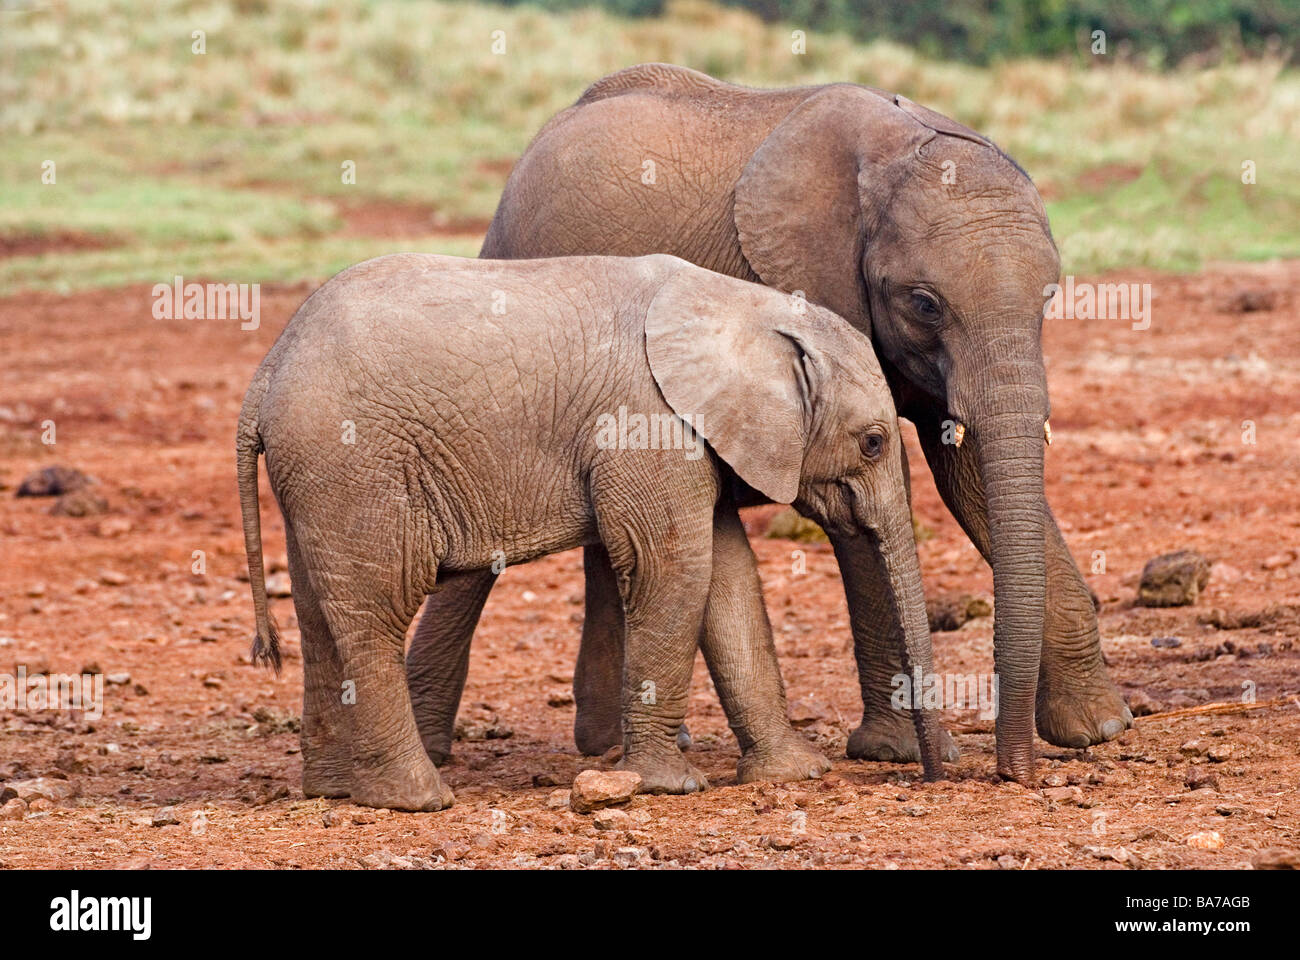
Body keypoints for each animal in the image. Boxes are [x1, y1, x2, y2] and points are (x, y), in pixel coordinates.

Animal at [237, 252, 946, 811]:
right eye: (874, 442)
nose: (934, 776)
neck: (743, 307)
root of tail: (266, 373)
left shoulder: (693, 433)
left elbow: (728, 580)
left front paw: (795, 774)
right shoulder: (648, 424)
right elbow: (674, 568)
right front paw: (669, 786)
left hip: (320, 474)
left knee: (318, 614)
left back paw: (332, 790)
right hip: (356, 460)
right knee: (376, 608)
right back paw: (418, 800)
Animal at [405, 63, 1132, 784]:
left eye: (1050, 297)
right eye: (924, 302)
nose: (1015, 774)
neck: (897, 149)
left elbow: (970, 472)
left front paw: (1098, 728)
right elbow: (870, 496)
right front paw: (898, 751)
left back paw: (608, 743)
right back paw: (443, 749)